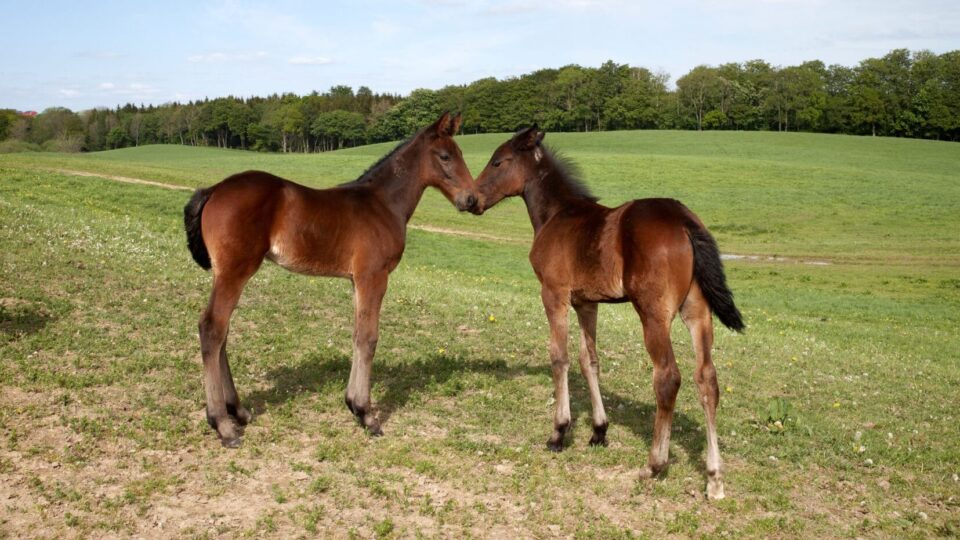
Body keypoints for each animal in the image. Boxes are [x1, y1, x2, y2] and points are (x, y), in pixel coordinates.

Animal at [183, 112, 477, 448]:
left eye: (461, 153)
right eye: (445, 156)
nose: (471, 199)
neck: (383, 203)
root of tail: (214, 189)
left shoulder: (356, 280)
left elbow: (357, 334)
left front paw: (352, 404)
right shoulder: (373, 277)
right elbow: (369, 338)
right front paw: (367, 415)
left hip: (226, 273)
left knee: (223, 331)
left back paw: (239, 411)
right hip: (235, 270)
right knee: (212, 328)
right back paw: (223, 424)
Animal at [470, 126, 743, 500]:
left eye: (498, 161)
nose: (471, 200)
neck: (556, 215)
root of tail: (686, 221)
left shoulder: (554, 295)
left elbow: (560, 357)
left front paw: (559, 432)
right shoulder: (586, 302)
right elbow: (590, 360)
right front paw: (599, 430)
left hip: (653, 314)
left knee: (668, 378)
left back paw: (653, 465)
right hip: (697, 311)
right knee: (707, 378)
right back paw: (714, 478)